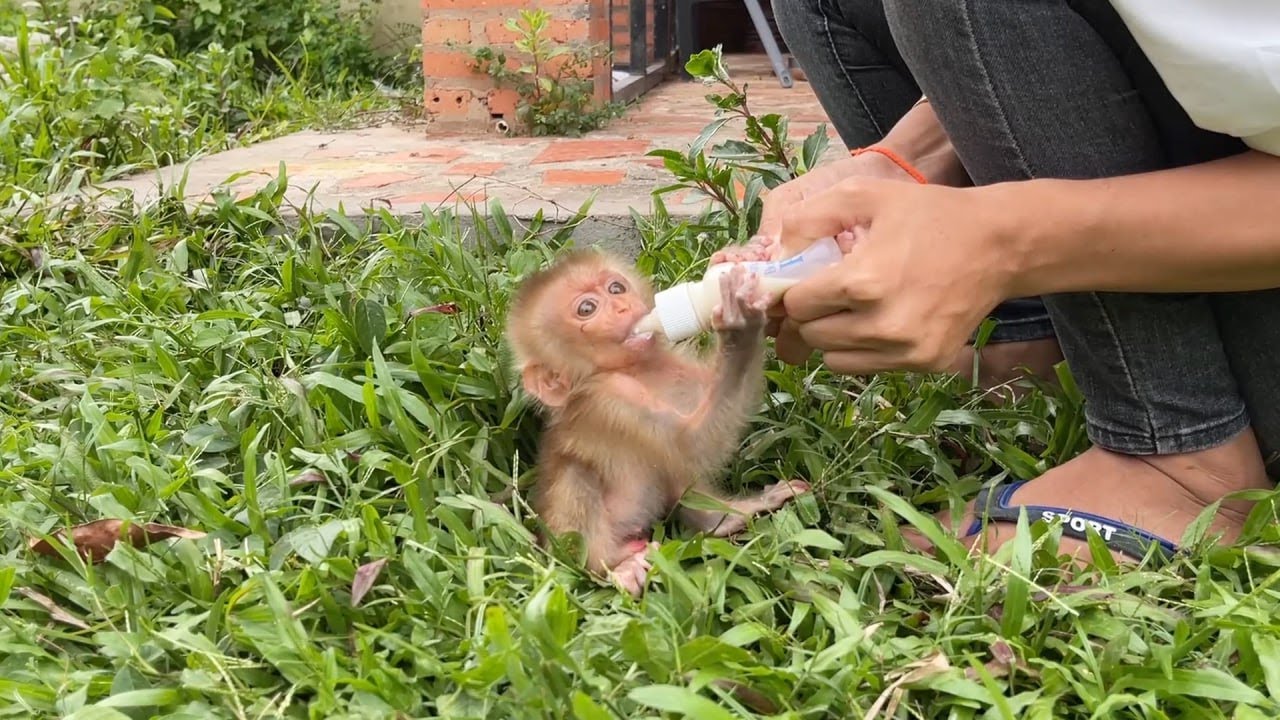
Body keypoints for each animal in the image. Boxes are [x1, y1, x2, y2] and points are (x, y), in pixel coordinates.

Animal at [505, 248, 810, 596]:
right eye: (587, 309)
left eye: (616, 288)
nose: (623, 307)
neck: (639, 370)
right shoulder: (611, 399)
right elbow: (690, 446)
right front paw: (741, 324)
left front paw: (733, 260)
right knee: (578, 473)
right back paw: (613, 567)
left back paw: (722, 519)